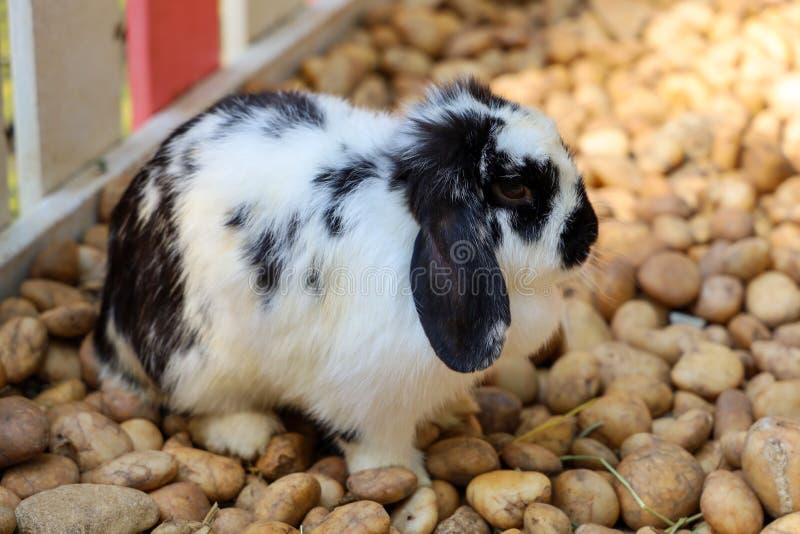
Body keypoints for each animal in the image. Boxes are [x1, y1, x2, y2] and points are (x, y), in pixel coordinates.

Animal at [94, 78, 598, 483]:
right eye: (514, 188)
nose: (588, 234)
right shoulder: (366, 399)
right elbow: (375, 446)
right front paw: (405, 478)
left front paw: (456, 411)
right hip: (203, 362)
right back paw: (246, 435)